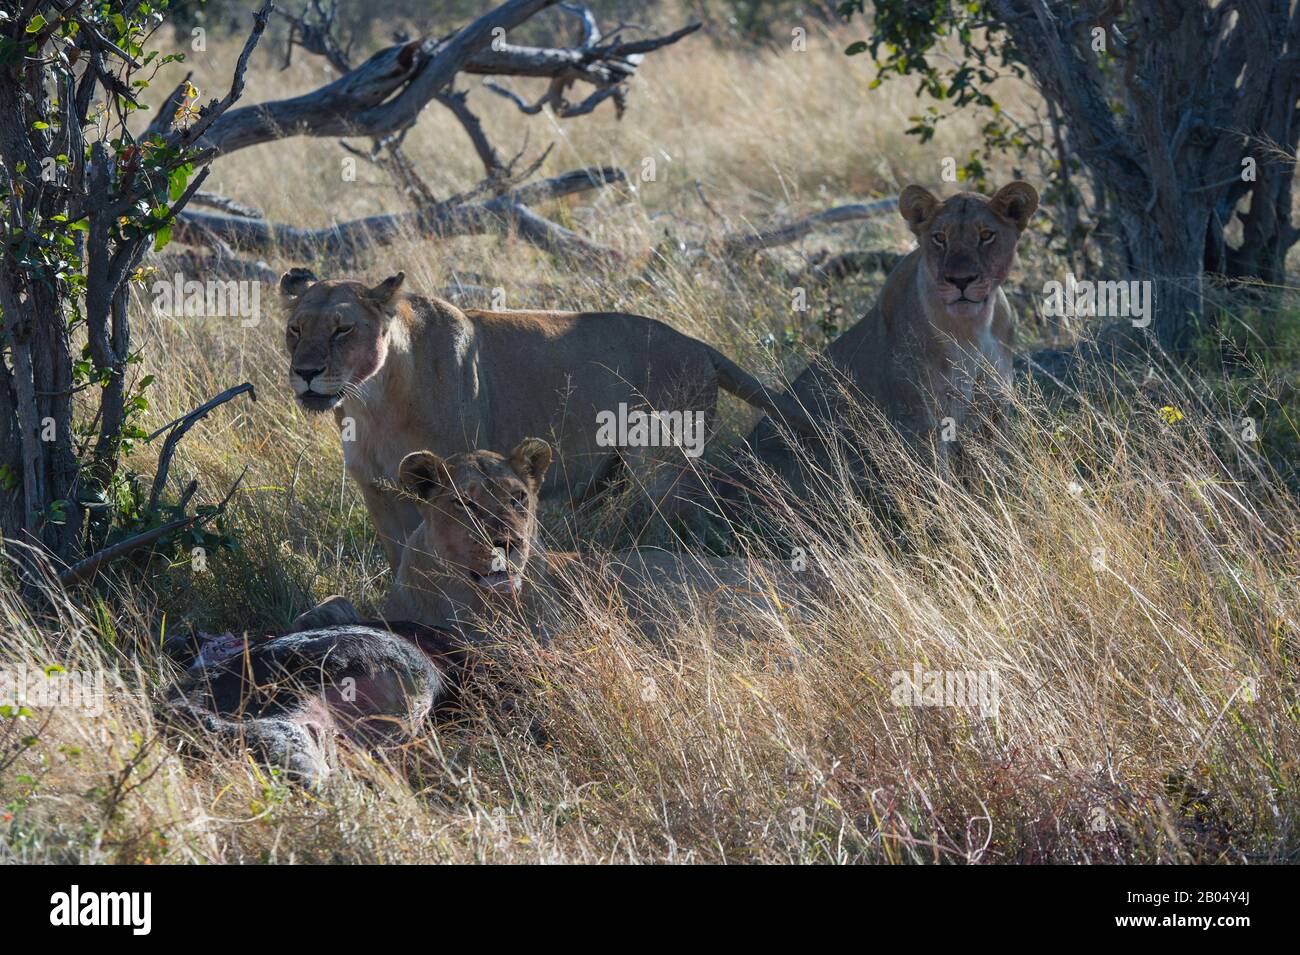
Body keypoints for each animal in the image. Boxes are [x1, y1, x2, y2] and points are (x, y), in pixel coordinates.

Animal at [280, 269, 817, 569]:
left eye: (343, 329)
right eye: (295, 330)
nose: (305, 373)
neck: (372, 403)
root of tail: (698, 345)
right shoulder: (378, 492)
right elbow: (399, 557)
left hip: (663, 466)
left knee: (677, 527)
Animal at [740, 181, 1039, 496]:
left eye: (986, 235)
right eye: (940, 238)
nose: (960, 280)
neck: (970, 330)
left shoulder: (994, 407)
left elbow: (998, 470)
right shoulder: (921, 420)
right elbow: (940, 485)